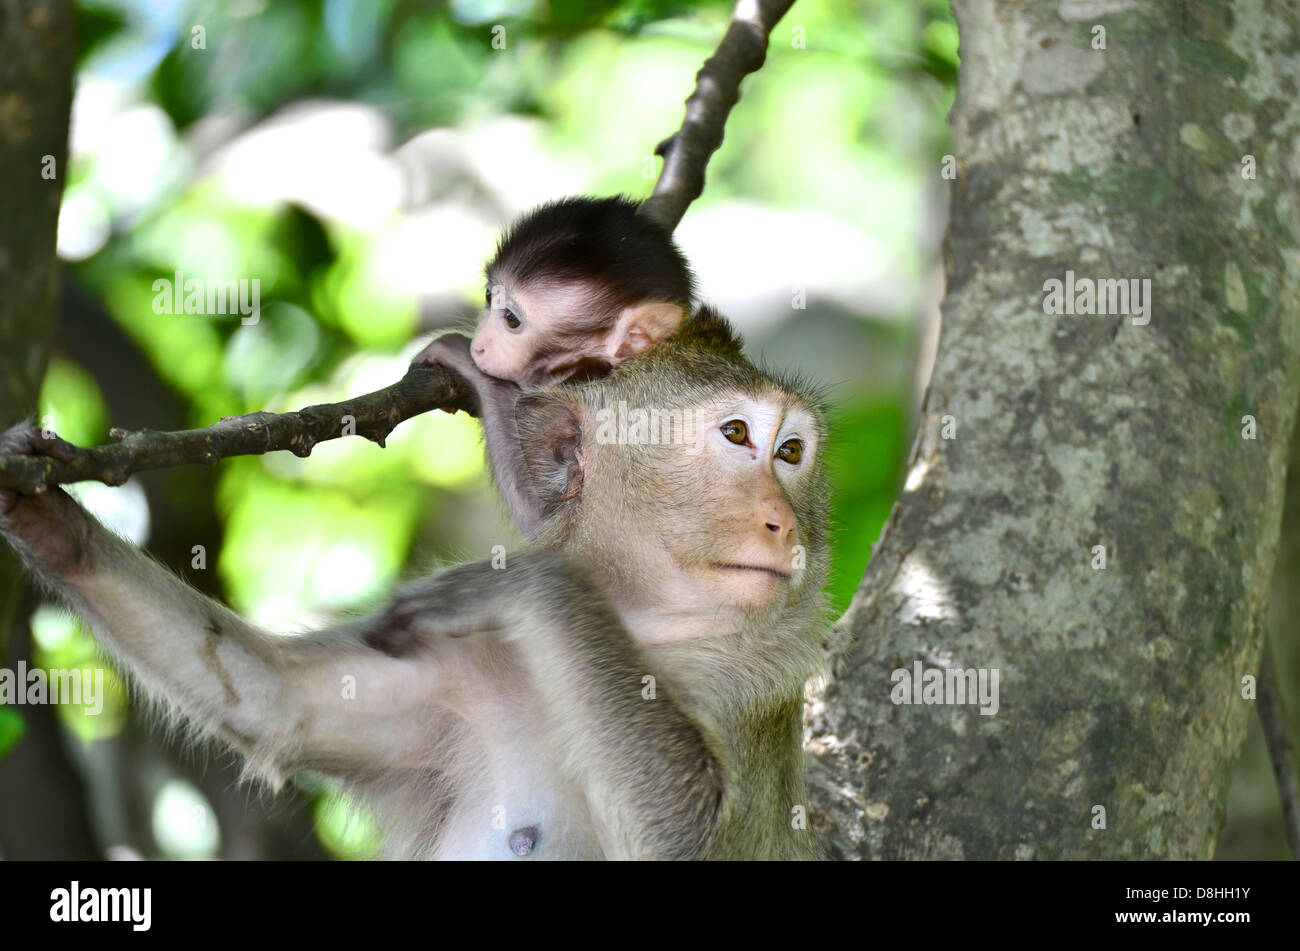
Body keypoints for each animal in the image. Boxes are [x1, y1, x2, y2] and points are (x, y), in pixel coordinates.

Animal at [0, 308, 830, 860]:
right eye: (738, 436)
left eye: (790, 452)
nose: (781, 523)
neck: (636, 619)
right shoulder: (465, 671)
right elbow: (278, 699)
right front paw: (50, 520)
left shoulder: (754, 689)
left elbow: (693, 840)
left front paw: (532, 582)